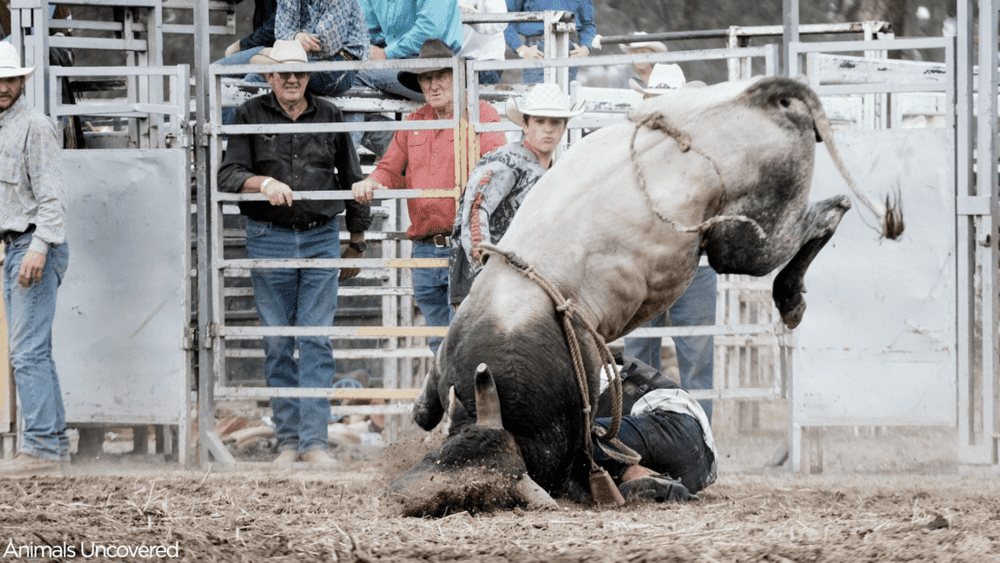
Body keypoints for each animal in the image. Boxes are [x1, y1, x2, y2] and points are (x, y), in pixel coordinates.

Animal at [388, 76, 903, 510]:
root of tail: (758, 95)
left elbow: (586, 459)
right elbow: (426, 410)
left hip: (746, 238)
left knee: (828, 213)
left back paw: (790, 297)